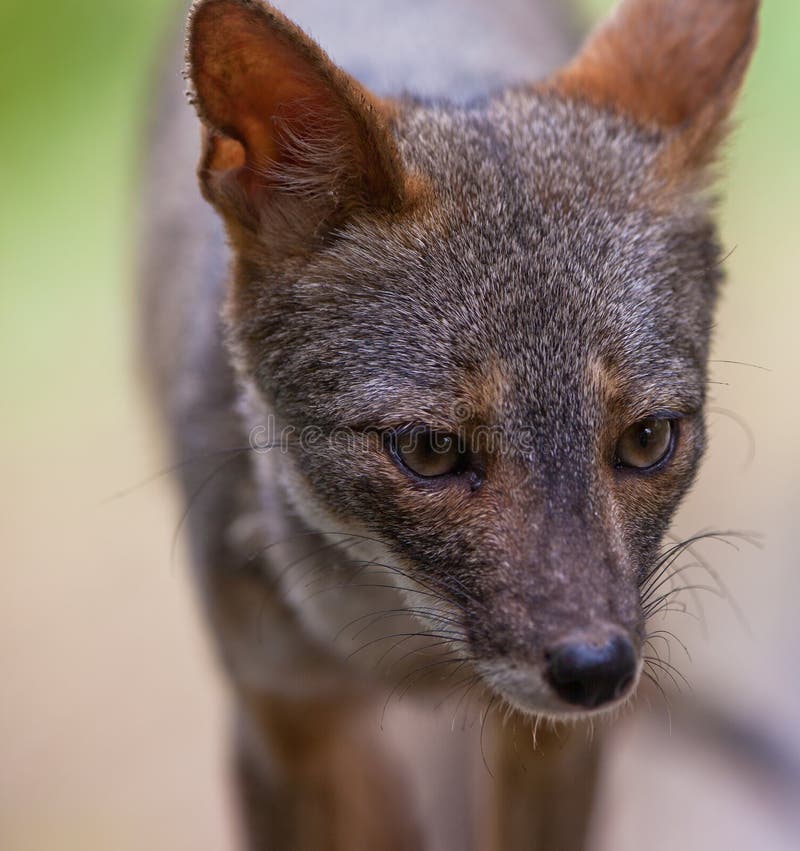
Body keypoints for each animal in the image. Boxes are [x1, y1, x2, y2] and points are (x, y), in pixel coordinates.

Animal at [139, 0, 759, 848]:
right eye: (430, 450)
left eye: (647, 438)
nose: (597, 668)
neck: (406, 658)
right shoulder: (282, 725)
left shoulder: (552, 744)